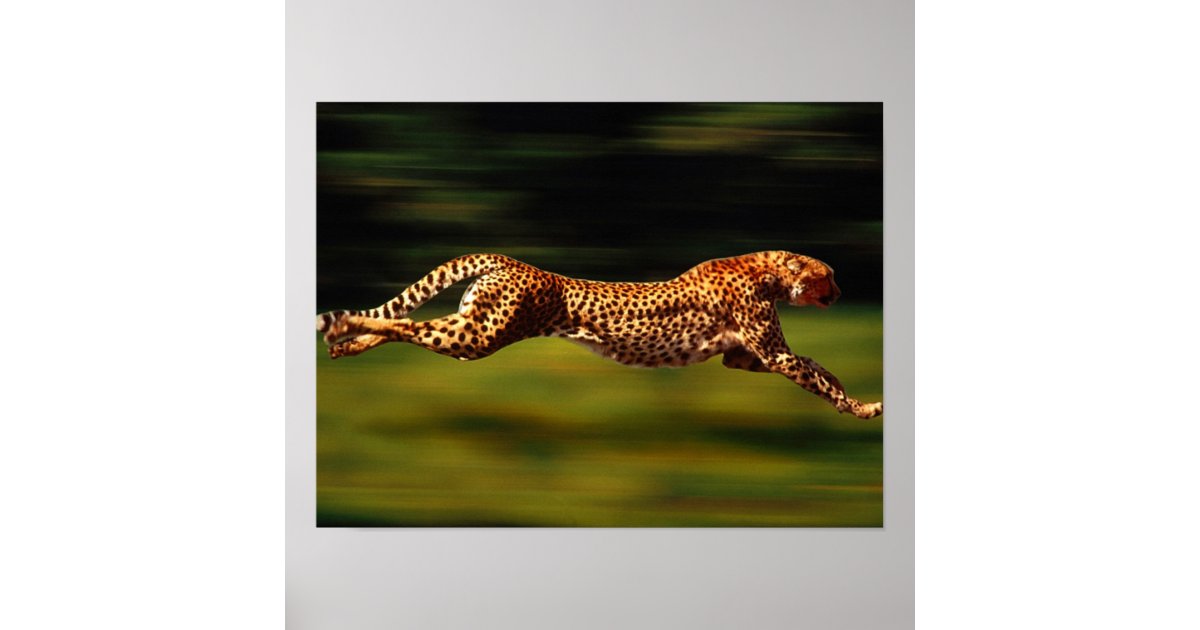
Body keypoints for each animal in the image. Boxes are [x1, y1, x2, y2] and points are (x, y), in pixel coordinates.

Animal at [316, 251, 882, 419]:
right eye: (828, 274)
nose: (840, 289)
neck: (768, 270)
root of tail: (508, 259)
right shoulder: (771, 355)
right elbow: (815, 374)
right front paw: (862, 408)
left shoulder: (743, 358)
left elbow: (816, 366)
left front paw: (852, 398)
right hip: (480, 336)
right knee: (408, 324)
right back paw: (343, 327)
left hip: (470, 330)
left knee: (409, 326)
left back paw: (347, 342)